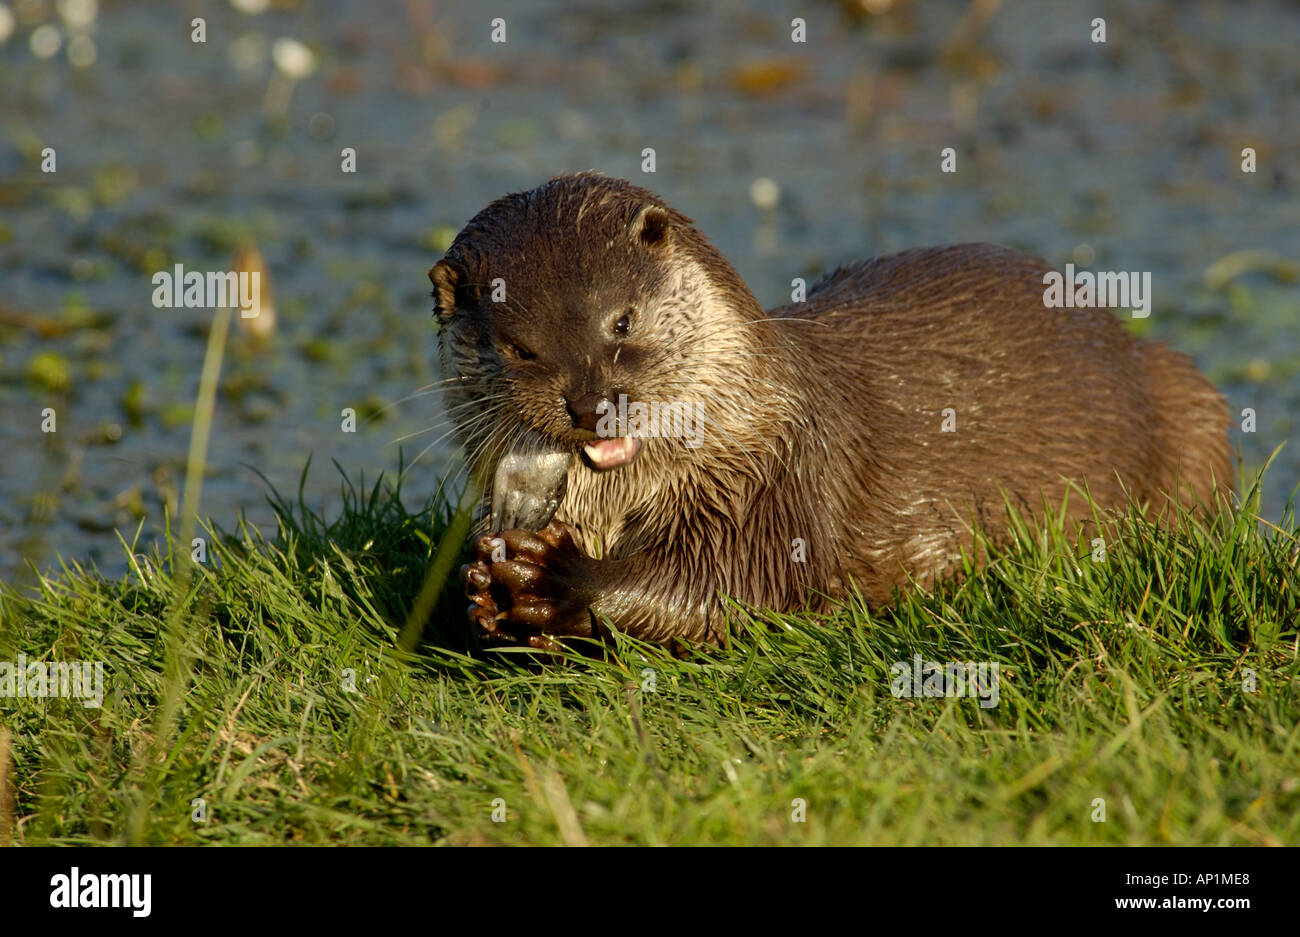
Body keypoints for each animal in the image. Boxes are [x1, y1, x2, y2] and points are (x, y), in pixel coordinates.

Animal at [429, 173, 1233, 649]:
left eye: (621, 321)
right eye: (519, 348)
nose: (593, 403)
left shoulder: (778, 482)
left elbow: (723, 592)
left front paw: (557, 581)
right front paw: (483, 590)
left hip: (1193, 407)